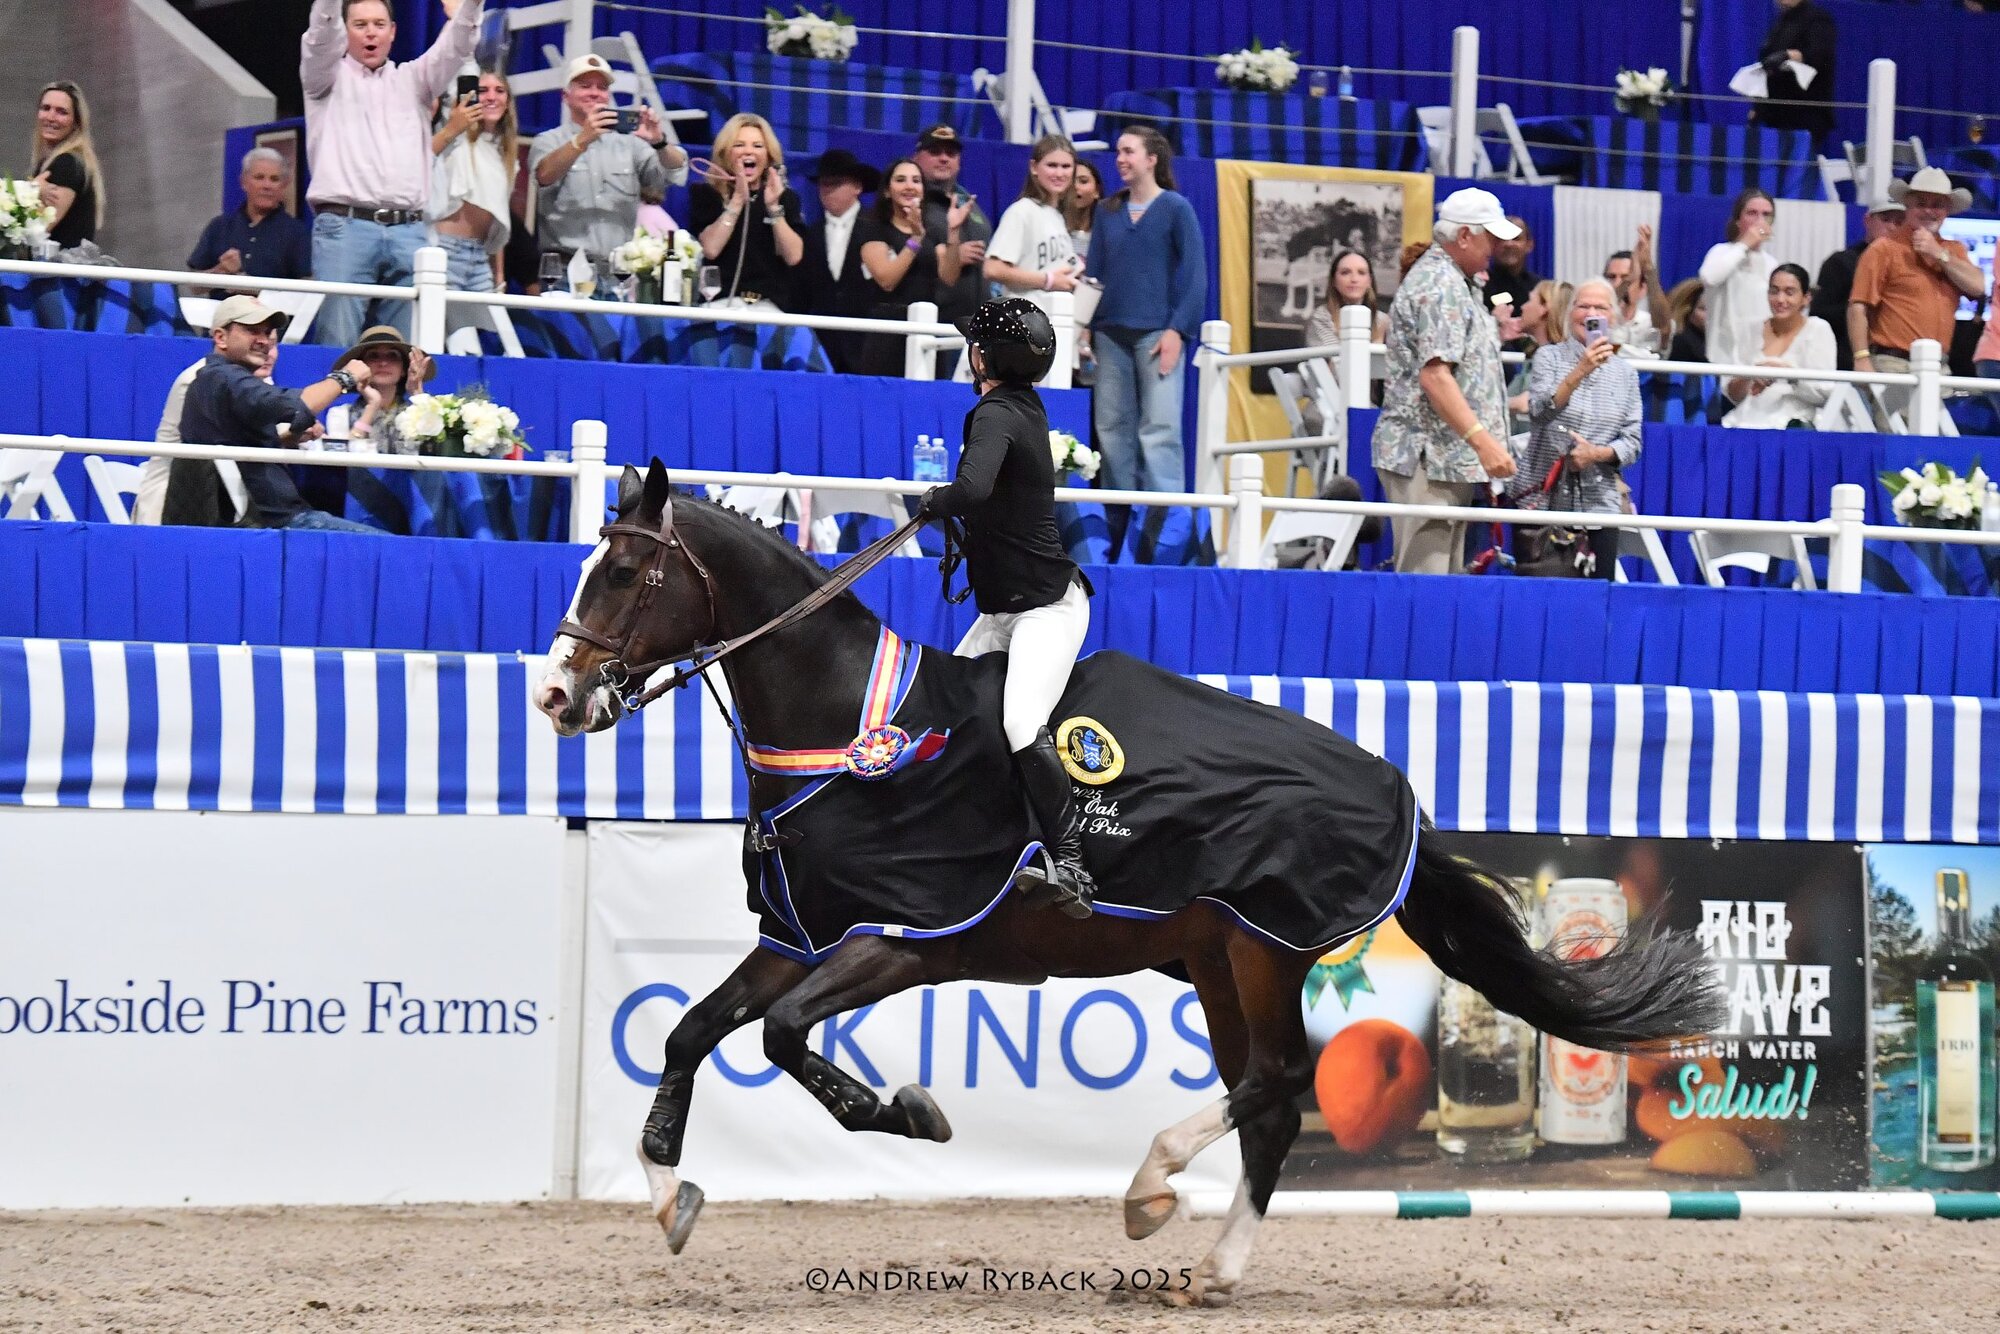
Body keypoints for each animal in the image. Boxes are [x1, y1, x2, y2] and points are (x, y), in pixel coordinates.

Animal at [534, 461, 1725, 1307]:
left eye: (625, 573)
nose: (553, 694)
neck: (849, 729)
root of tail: (1391, 786)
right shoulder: (797, 939)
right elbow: (689, 1031)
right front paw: (666, 1196)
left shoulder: (901, 939)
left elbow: (782, 1038)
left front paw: (910, 1114)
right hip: (1214, 959)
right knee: (1268, 1102)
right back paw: (1209, 1263)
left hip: (1261, 945)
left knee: (1279, 1081)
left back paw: (1153, 1187)